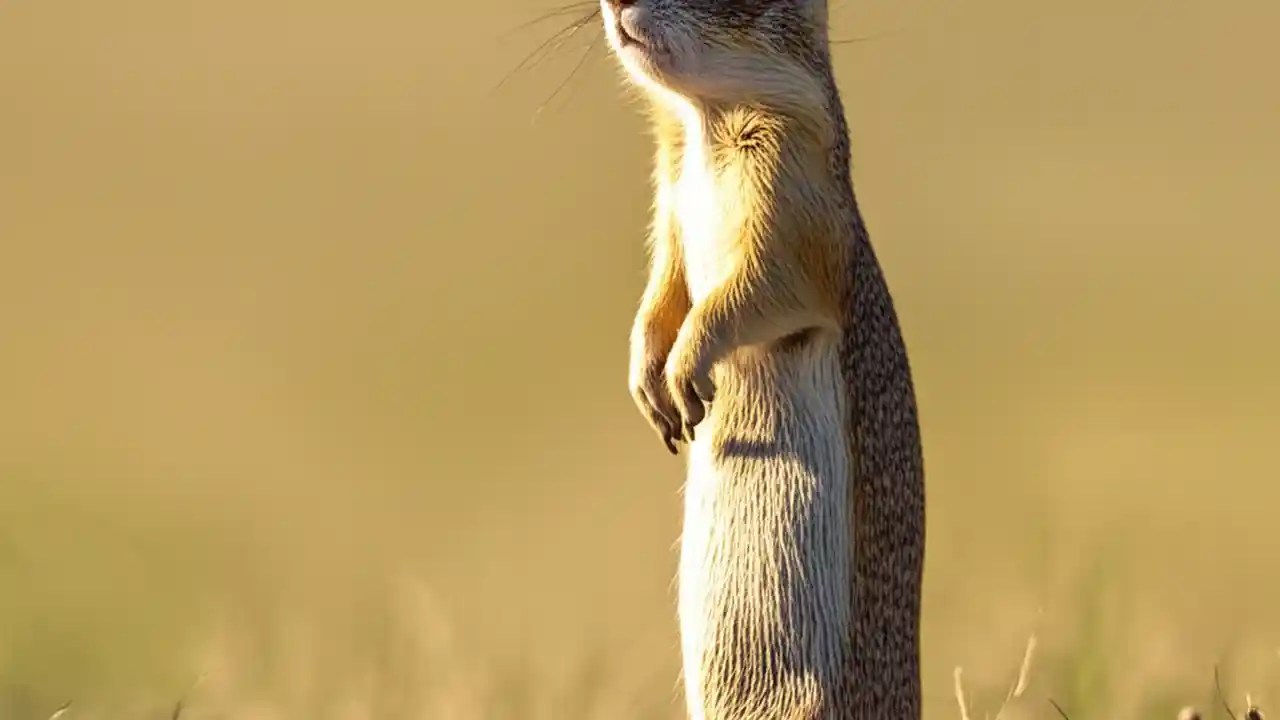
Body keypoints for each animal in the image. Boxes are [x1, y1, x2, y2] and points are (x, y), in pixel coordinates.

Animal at [598, 0, 926, 717]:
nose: (615, 4)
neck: (705, 126)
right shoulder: (670, 204)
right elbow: (663, 285)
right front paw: (646, 375)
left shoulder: (792, 203)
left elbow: (755, 290)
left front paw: (685, 367)